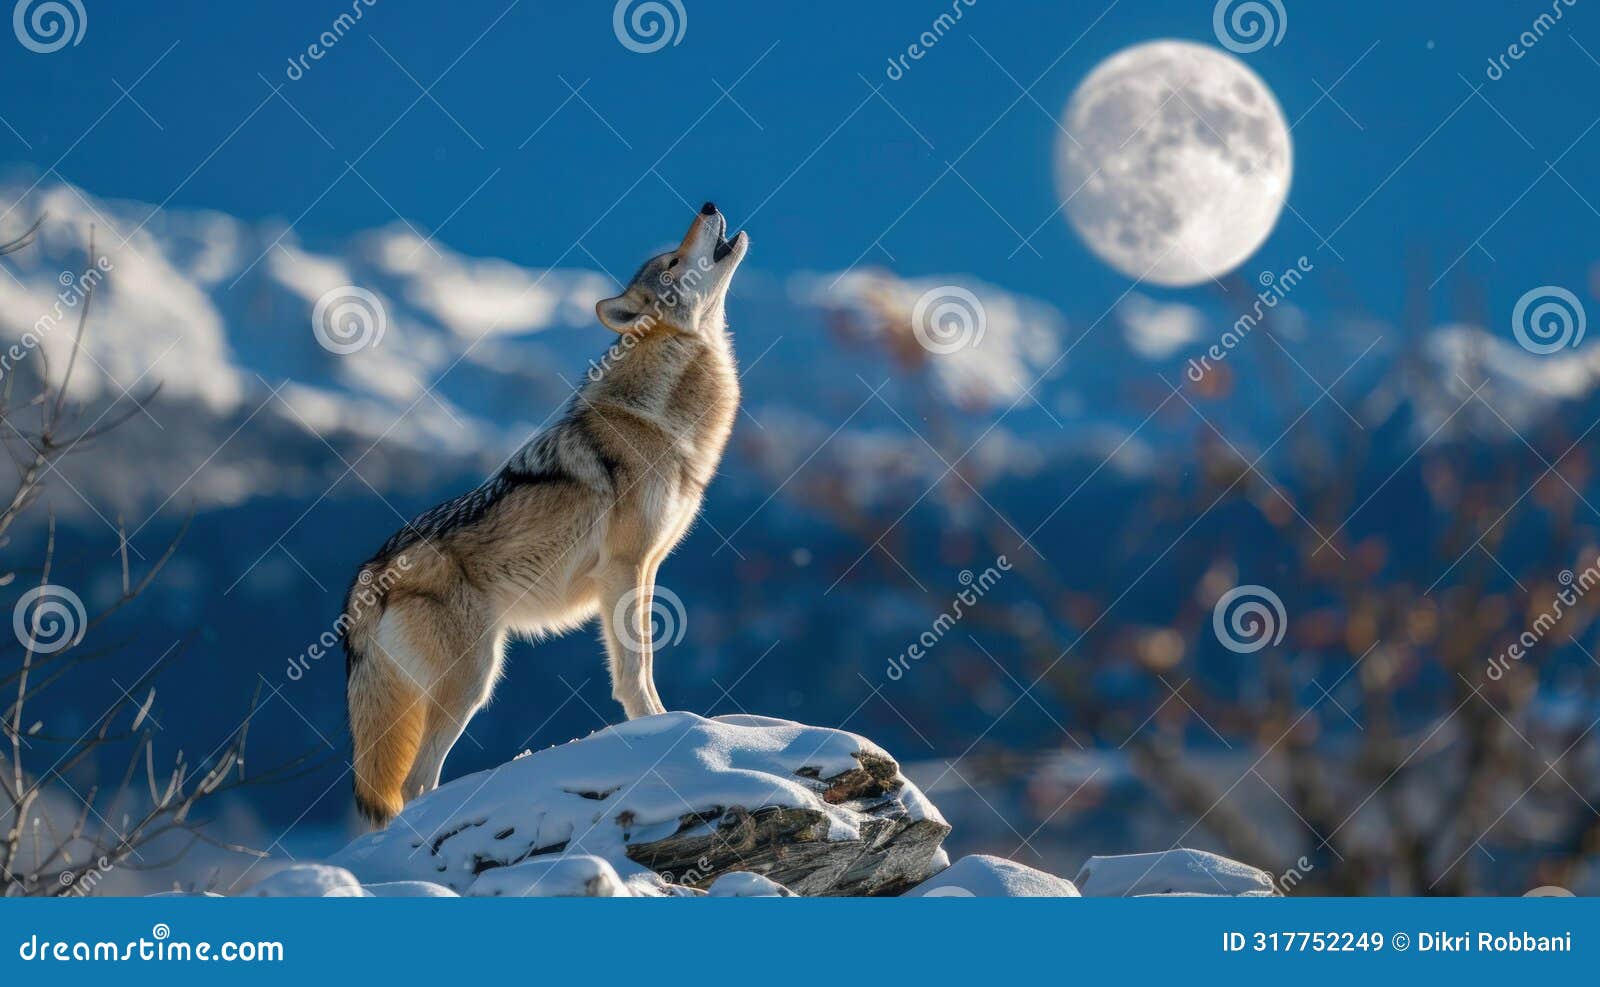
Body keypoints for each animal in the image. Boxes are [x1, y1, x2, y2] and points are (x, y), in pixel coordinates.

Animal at [342, 203, 747, 825]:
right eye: (673, 263)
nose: (707, 206)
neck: (660, 416)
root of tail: (369, 573)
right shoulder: (625, 568)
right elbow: (635, 670)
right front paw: (659, 729)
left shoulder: (647, 568)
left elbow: (639, 666)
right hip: (473, 680)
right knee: (413, 784)